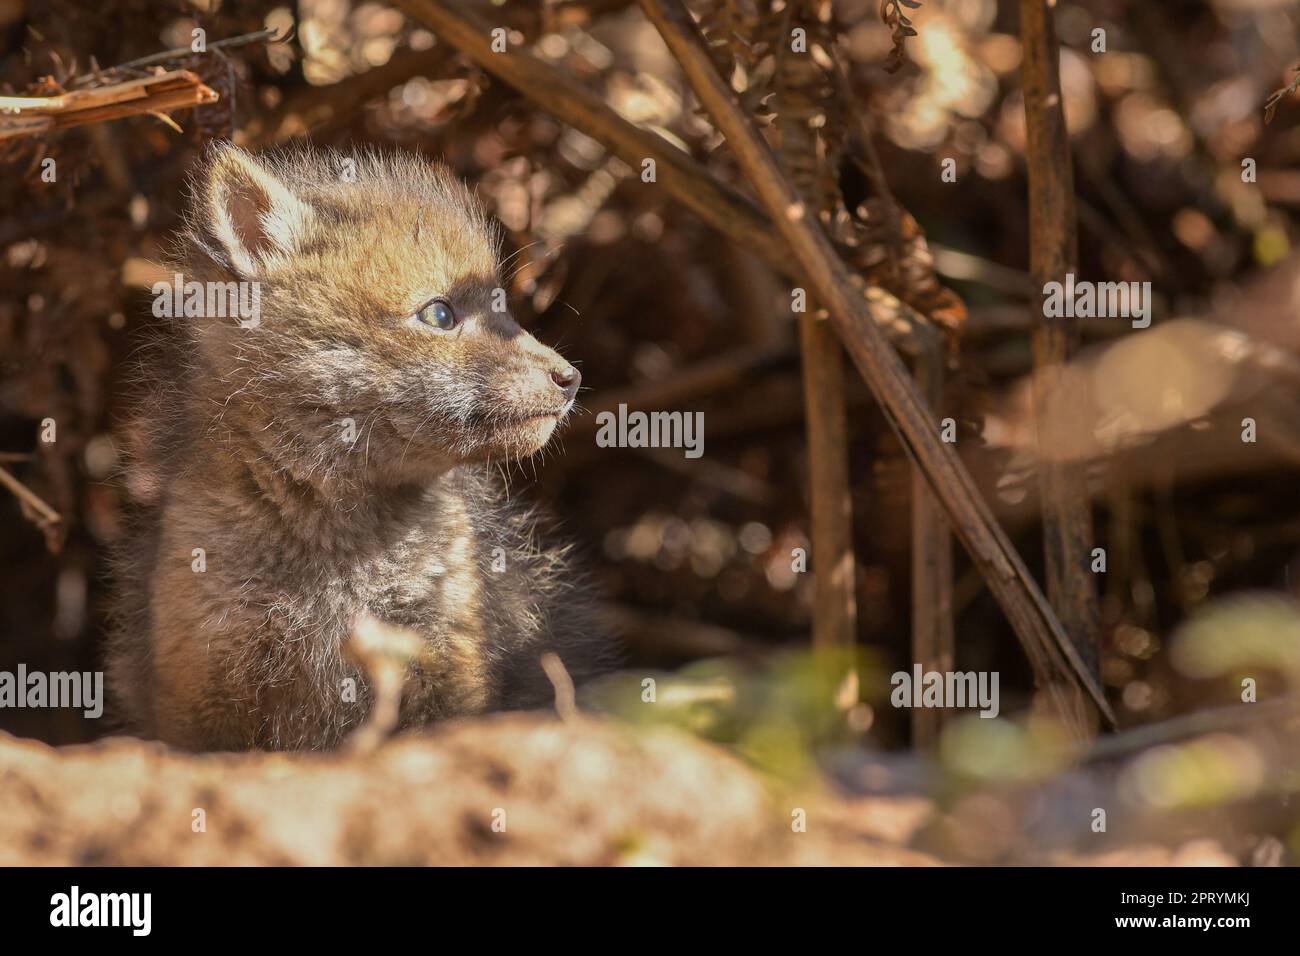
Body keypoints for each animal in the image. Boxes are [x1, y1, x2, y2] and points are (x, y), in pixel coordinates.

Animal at [106, 143, 614, 751]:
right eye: (440, 314)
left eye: (505, 311)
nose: (571, 379)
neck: (333, 552)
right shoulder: (203, 691)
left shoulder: (445, 672)